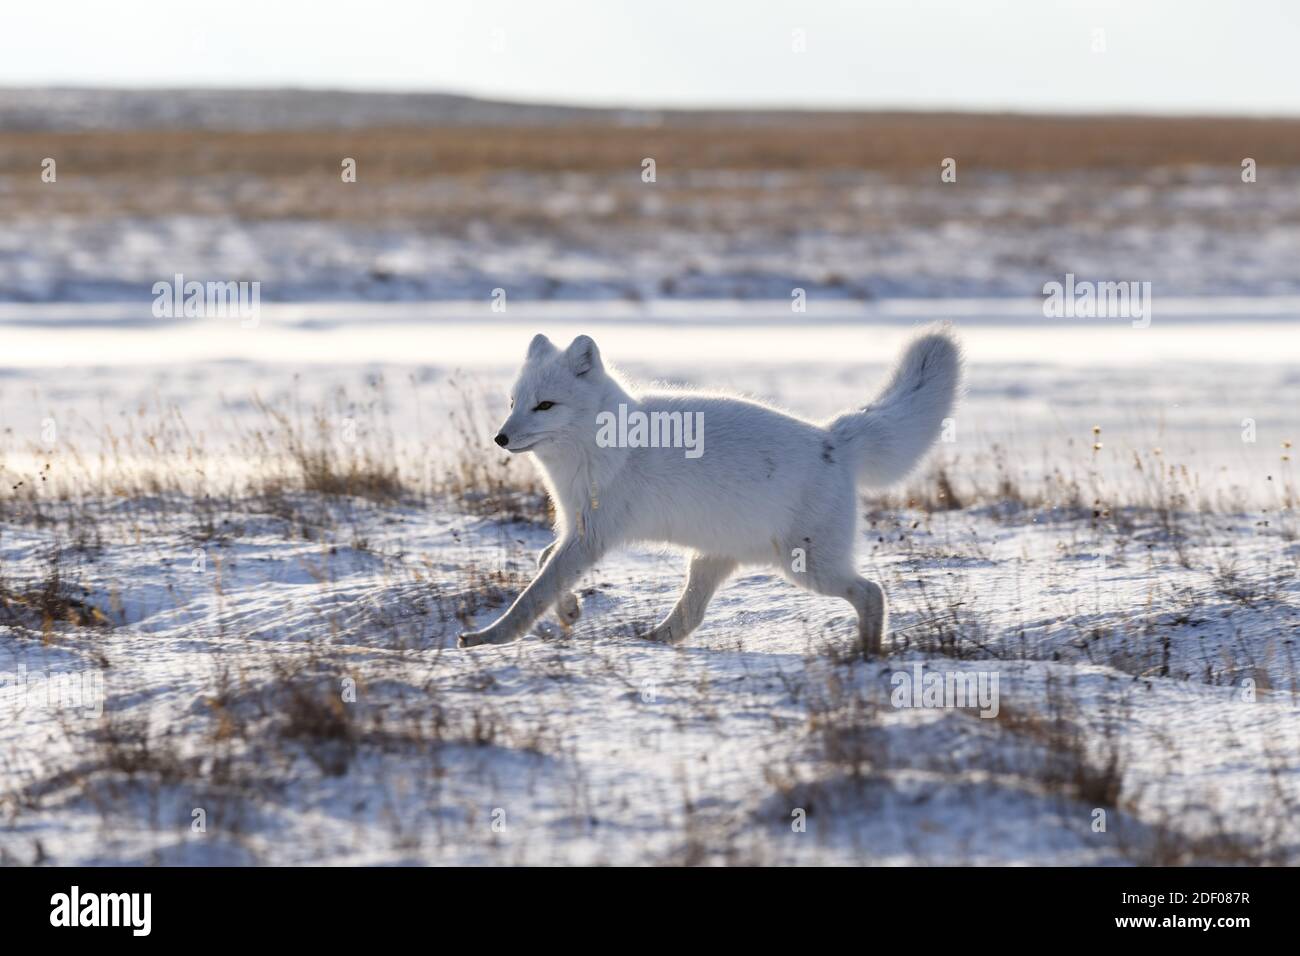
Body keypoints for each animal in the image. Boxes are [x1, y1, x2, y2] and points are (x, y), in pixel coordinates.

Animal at [458, 325, 962, 656]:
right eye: (514, 402)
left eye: (545, 405)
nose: (501, 437)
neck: (604, 443)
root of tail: (834, 438)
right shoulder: (575, 526)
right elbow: (544, 562)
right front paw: (569, 612)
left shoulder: (590, 536)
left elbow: (533, 593)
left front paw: (488, 638)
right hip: (713, 560)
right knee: (691, 617)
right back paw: (651, 640)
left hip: (808, 567)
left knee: (873, 592)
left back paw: (868, 651)